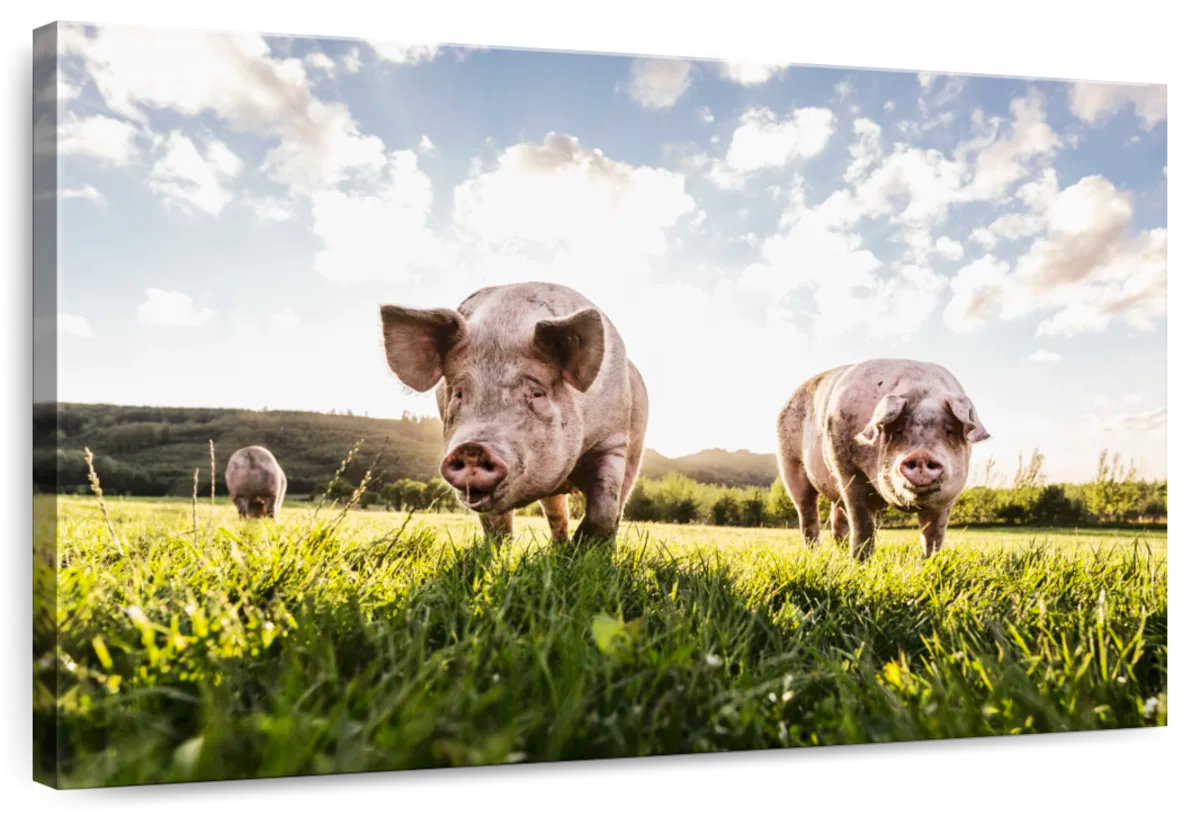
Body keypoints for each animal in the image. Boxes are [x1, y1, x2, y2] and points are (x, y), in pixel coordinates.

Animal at [379, 282, 649, 545]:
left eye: (537, 393)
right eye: (458, 393)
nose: (472, 448)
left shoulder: (613, 440)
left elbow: (603, 508)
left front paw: (590, 551)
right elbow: (496, 525)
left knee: (617, 504)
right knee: (555, 512)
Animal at [776, 359, 990, 560]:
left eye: (949, 430)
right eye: (899, 430)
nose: (921, 455)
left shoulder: (947, 499)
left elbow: (934, 534)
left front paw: (929, 562)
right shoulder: (848, 470)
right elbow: (863, 526)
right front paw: (860, 563)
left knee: (837, 520)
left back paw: (841, 553)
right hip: (790, 463)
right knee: (808, 515)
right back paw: (815, 554)